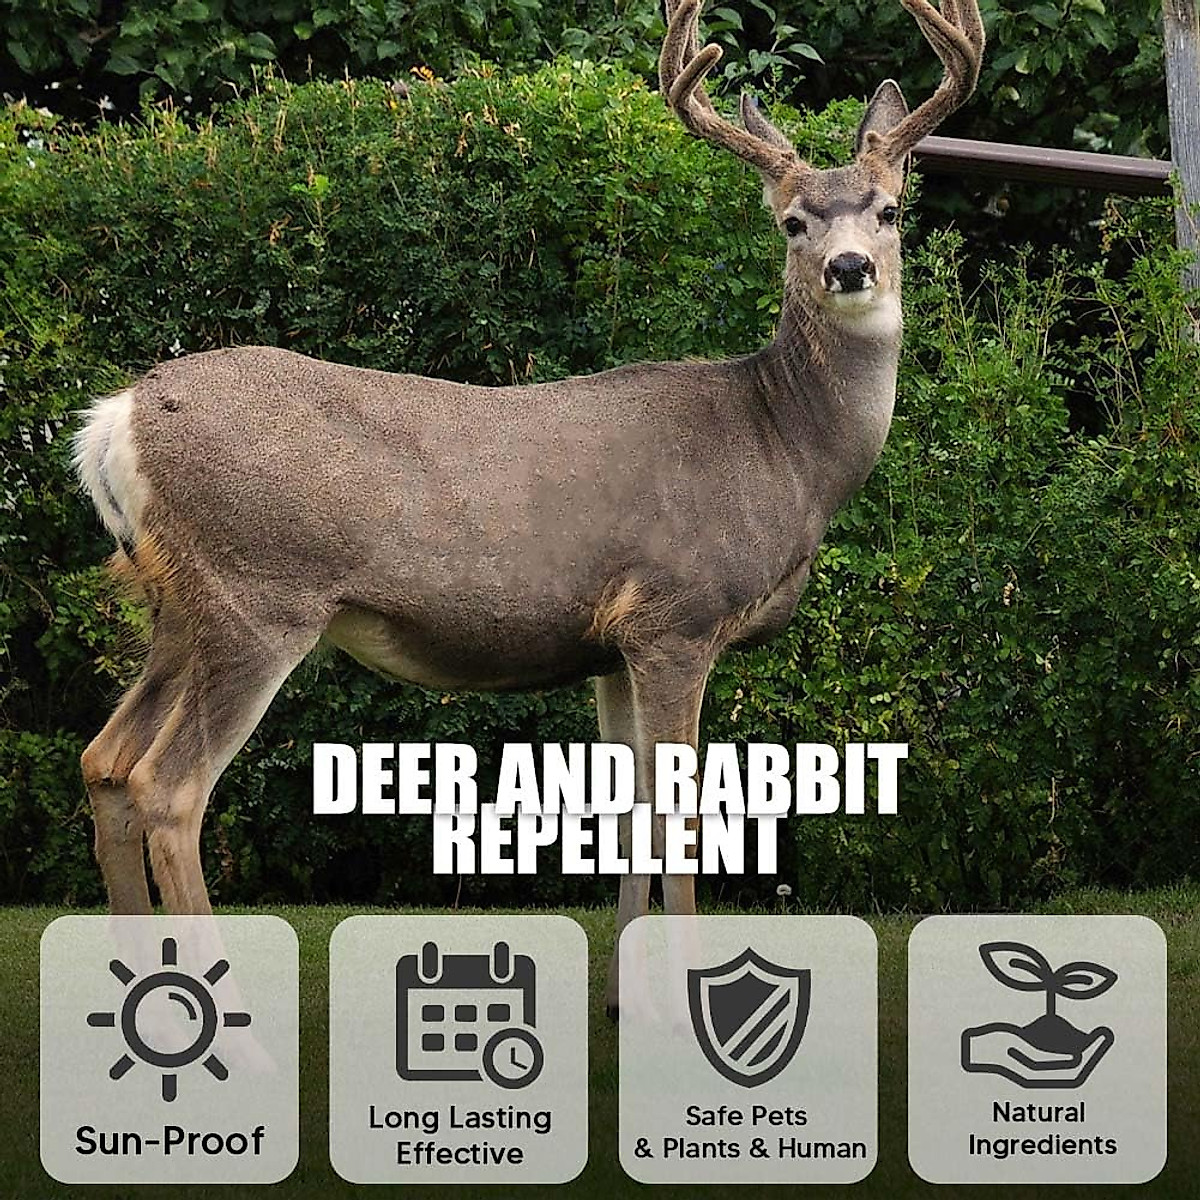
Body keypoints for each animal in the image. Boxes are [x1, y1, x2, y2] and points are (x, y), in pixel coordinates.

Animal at [74, 0, 983, 1015]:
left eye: (890, 209)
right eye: (792, 222)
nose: (851, 267)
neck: (782, 446)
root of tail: (117, 419)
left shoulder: (612, 647)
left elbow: (628, 806)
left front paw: (627, 998)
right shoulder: (676, 614)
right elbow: (680, 808)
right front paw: (684, 996)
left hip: (179, 601)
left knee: (104, 761)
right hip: (259, 593)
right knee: (167, 789)